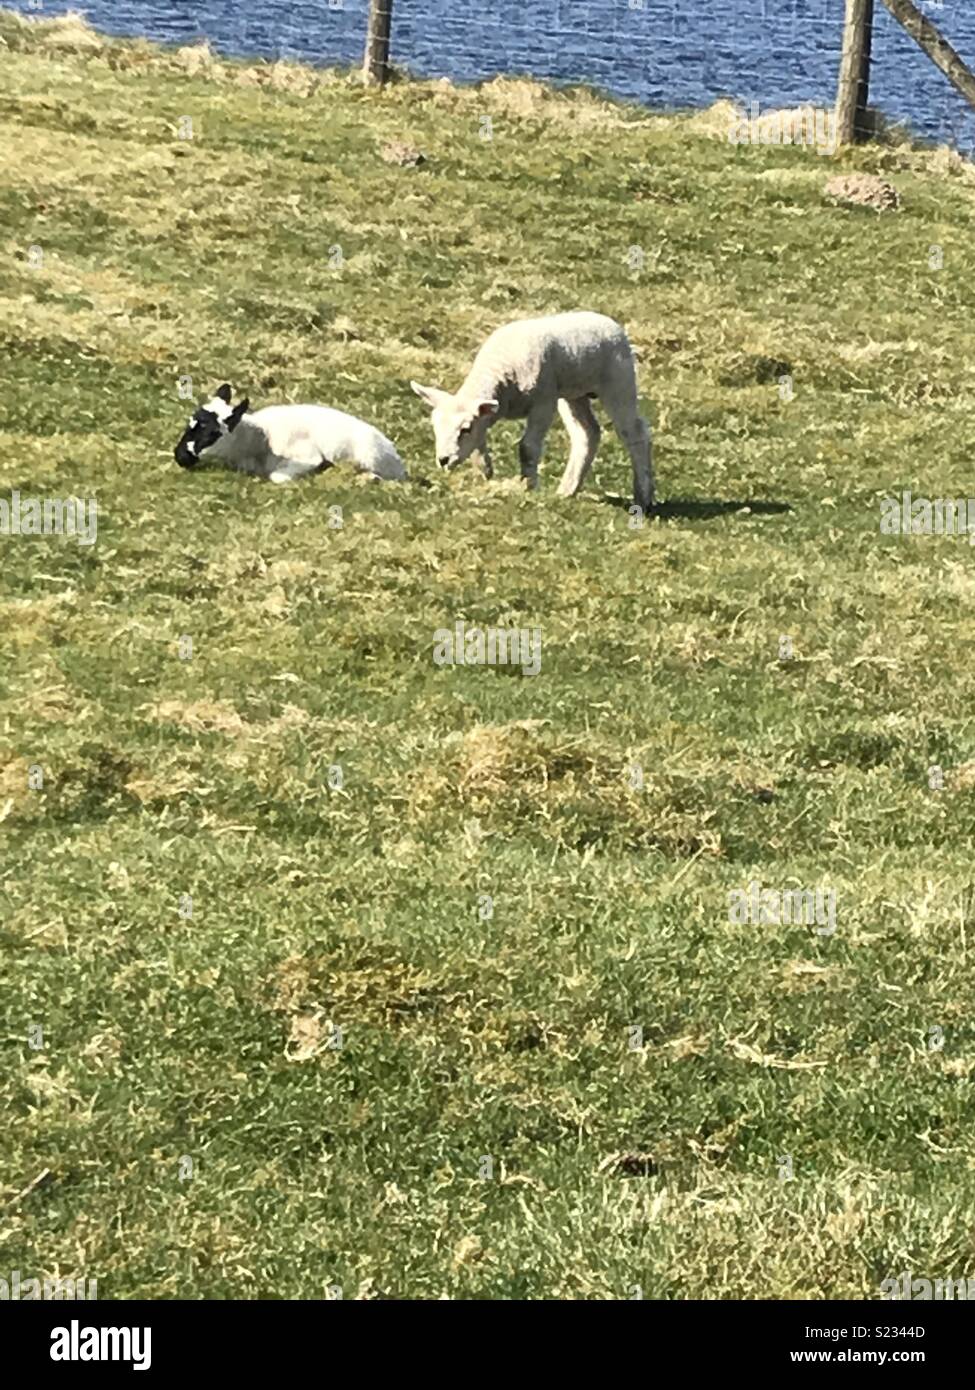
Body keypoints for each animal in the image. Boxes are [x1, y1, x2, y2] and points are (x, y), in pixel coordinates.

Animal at [410, 311, 653, 511]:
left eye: (465, 429)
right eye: (435, 428)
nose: (443, 460)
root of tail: (610, 322)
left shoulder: (543, 403)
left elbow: (527, 448)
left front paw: (527, 486)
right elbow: (480, 446)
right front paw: (485, 473)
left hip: (618, 382)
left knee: (635, 432)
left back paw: (644, 496)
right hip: (573, 394)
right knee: (587, 433)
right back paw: (567, 490)